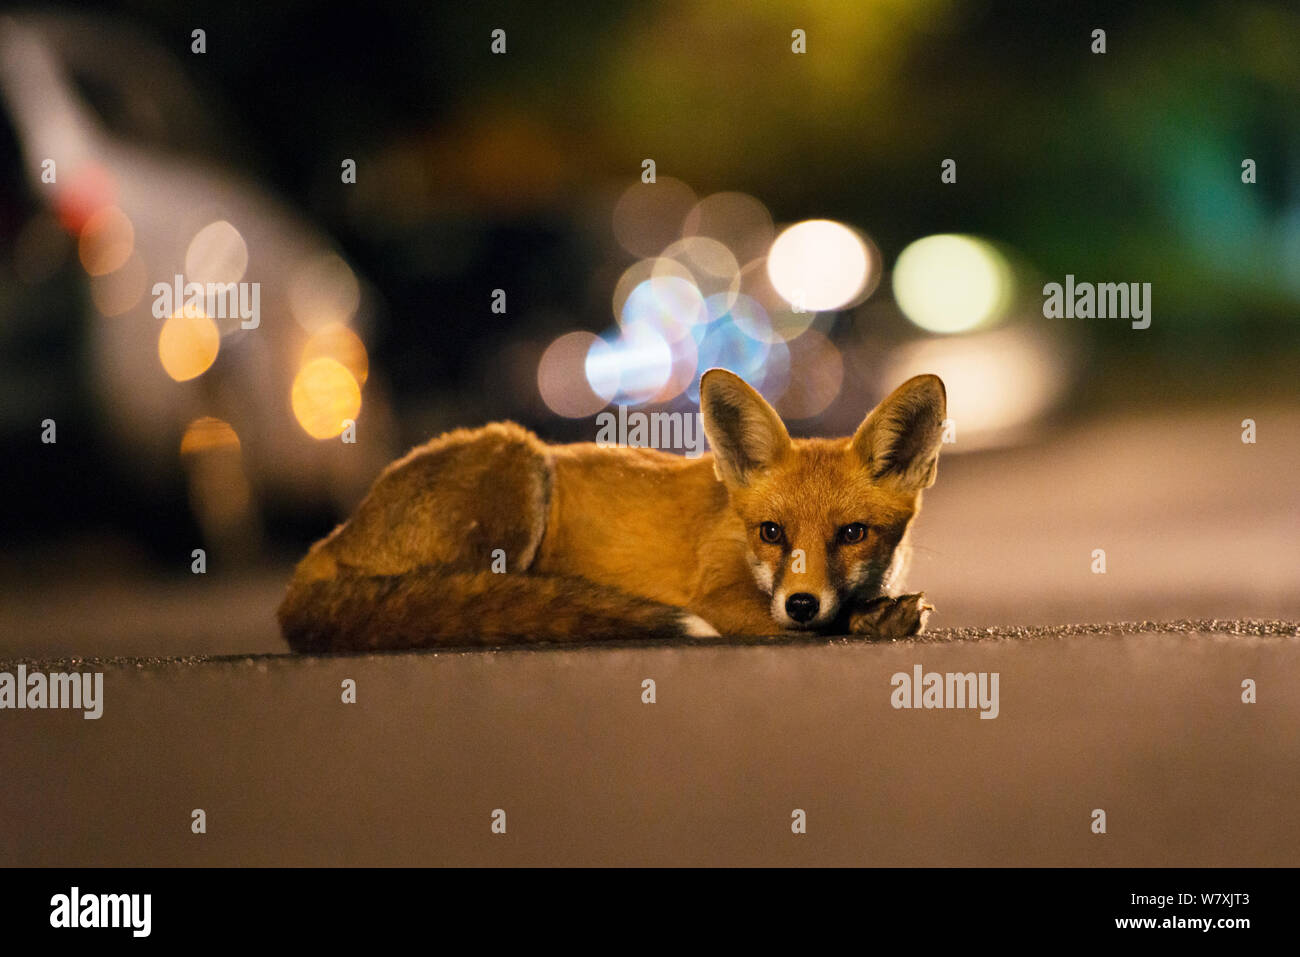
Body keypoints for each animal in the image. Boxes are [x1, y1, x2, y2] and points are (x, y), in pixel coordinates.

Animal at [277, 369, 947, 651]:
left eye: (853, 533)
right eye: (772, 532)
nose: (802, 602)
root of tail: (323, 547)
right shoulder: (719, 597)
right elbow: (812, 624)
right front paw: (866, 620)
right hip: (518, 465)